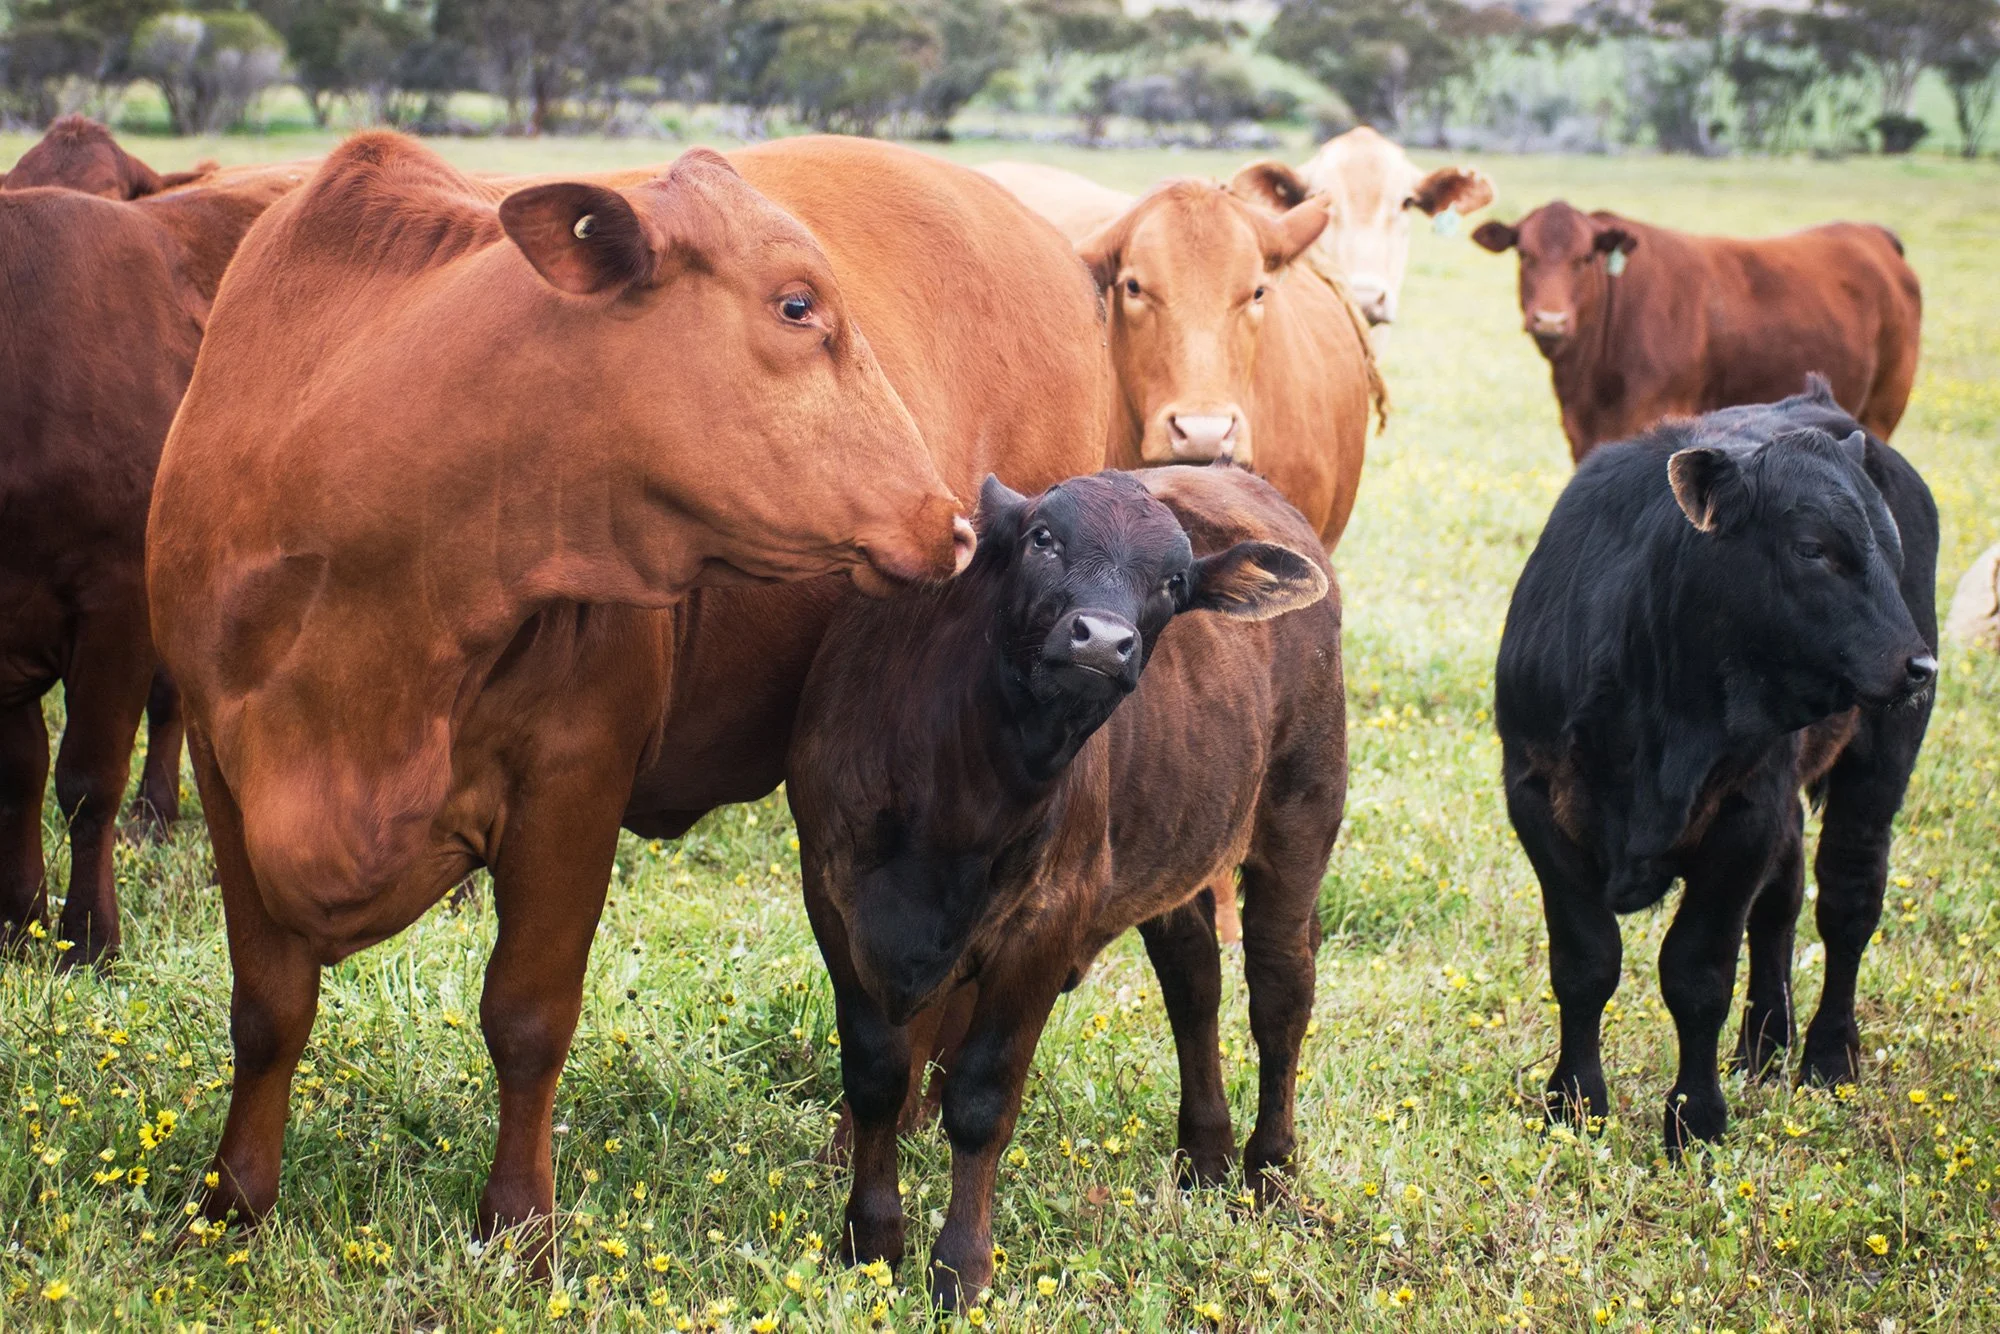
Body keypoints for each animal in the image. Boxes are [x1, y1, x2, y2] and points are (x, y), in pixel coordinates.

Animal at [146, 132, 1110, 1254]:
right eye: (797, 306)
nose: (949, 520)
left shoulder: (572, 779)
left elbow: (526, 1017)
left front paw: (520, 1228)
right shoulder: (223, 768)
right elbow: (268, 1009)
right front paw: (230, 1205)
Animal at [788, 465, 1343, 1307]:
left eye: (1174, 582)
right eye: (1044, 538)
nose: (1104, 641)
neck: (961, 787)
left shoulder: (1046, 924)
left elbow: (981, 1099)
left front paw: (961, 1268)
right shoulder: (835, 898)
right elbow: (877, 1077)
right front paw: (870, 1240)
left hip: (1300, 818)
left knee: (1280, 991)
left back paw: (1269, 1169)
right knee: (1194, 981)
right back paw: (1204, 1152)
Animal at [1496, 379, 1937, 1155]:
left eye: (1891, 548)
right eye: (1812, 549)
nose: (1918, 666)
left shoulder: (1744, 814)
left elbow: (1696, 974)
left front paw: (1693, 1118)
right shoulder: (1536, 797)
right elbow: (1584, 962)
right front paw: (1574, 1103)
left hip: (1877, 766)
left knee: (1847, 903)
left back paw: (1828, 1055)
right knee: (1781, 905)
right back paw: (1763, 1045)